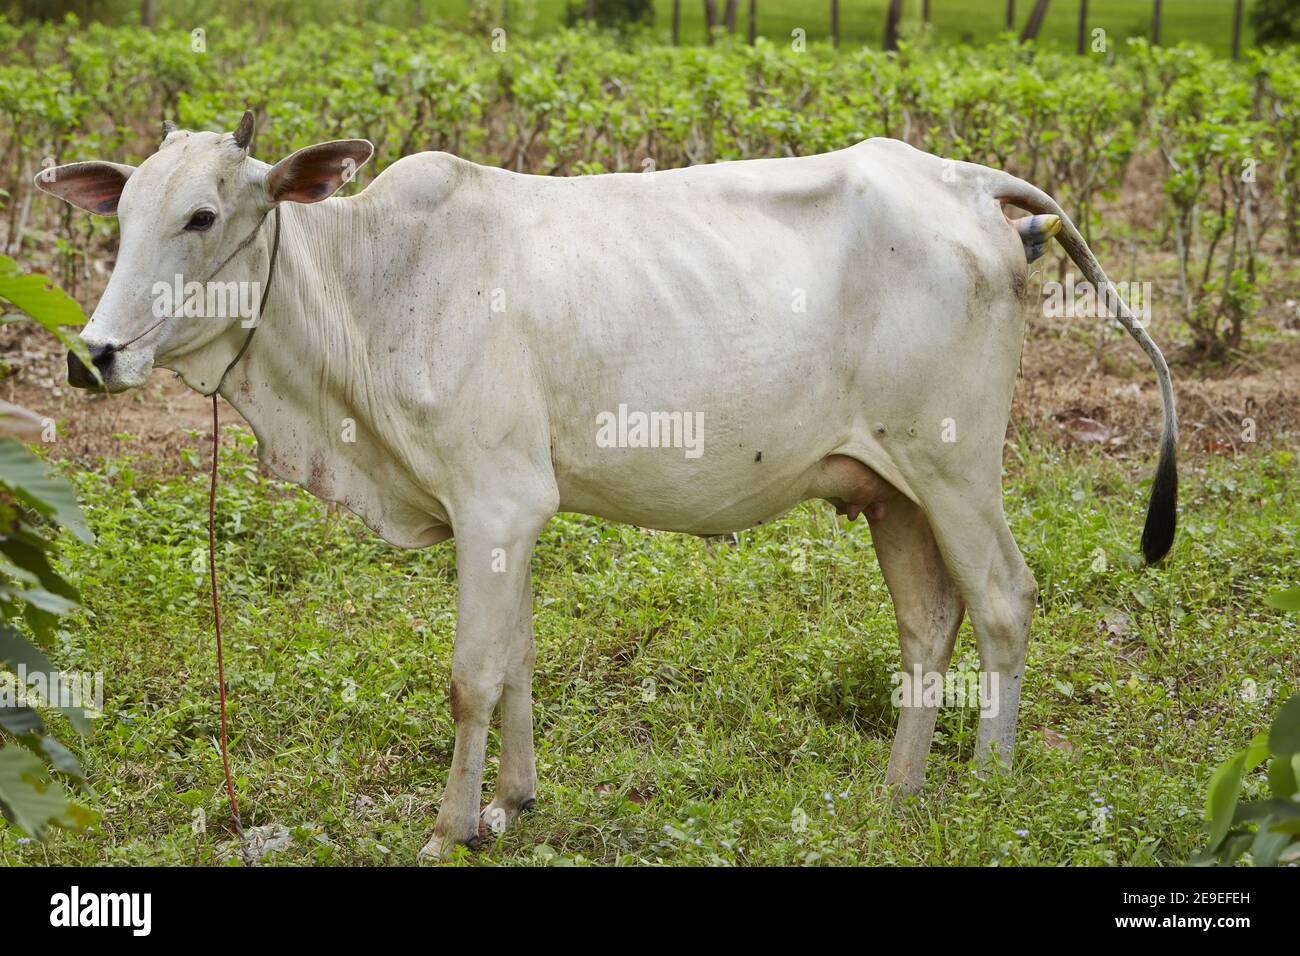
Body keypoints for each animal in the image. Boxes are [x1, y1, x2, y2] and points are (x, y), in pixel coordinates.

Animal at [37, 112, 1177, 860]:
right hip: (891, 485)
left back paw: (986, 785)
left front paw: (448, 826)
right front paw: (514, 802)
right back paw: (898, 792)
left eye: (199, 217)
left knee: (1003, 600)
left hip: (955, 463)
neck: (373, 287)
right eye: (122, 215)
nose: (93, 355)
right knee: (927, 620)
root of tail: (968, 183)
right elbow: (517, 660)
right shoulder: (504, 512)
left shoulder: (497, 502)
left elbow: (472, 675)